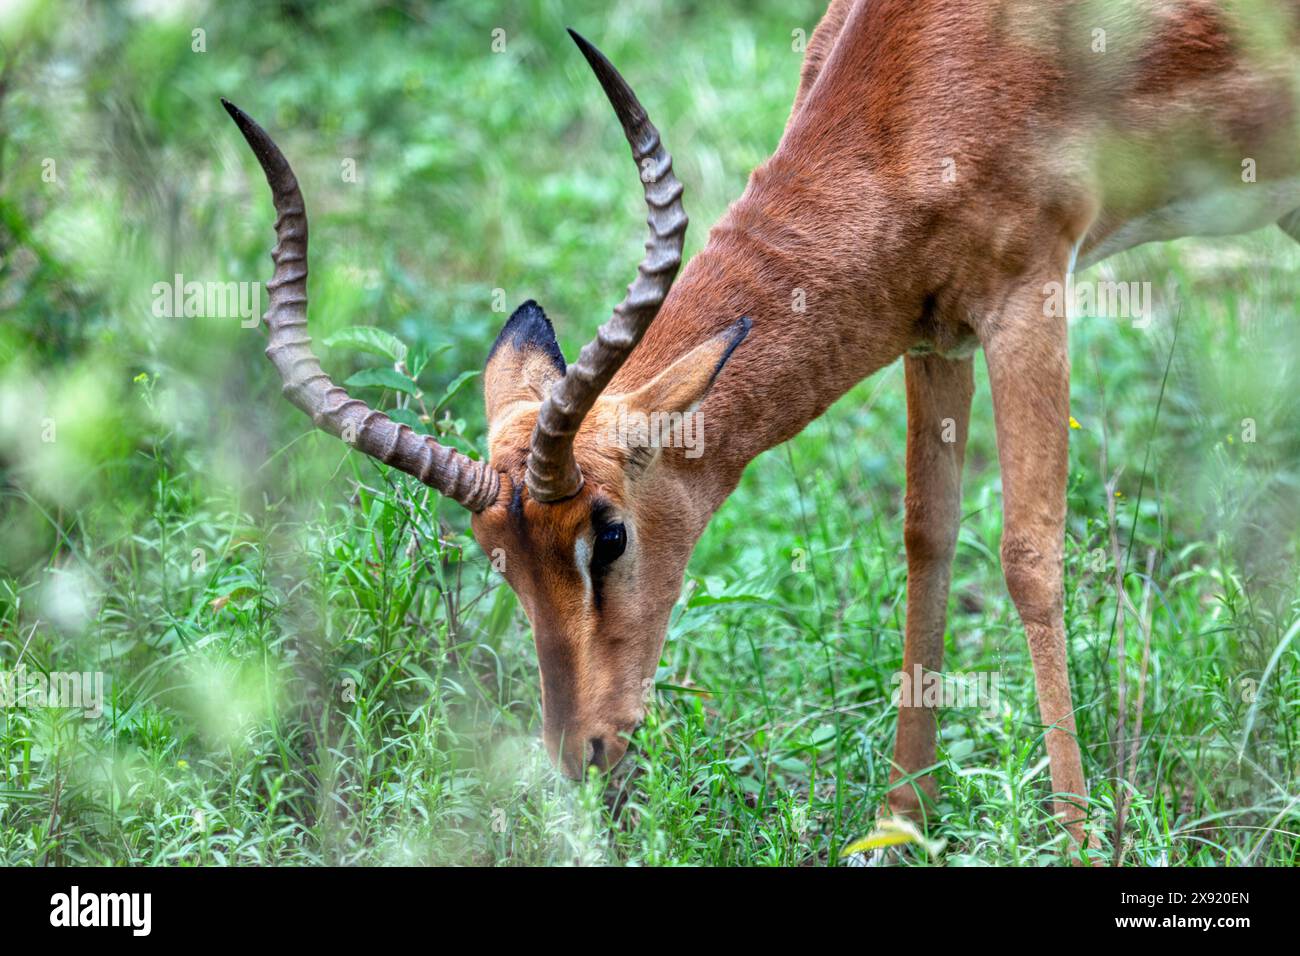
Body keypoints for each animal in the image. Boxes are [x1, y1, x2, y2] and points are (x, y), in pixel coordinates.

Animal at [224, 3, 1300, 860]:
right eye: (498, 558)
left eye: (608, 533)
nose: (583, 758)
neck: (927, 71)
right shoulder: (934, 329)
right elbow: (927, 540)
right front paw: (898, 825)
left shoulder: (1029, 294)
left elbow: (1029, 555)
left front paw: (1076, 842)